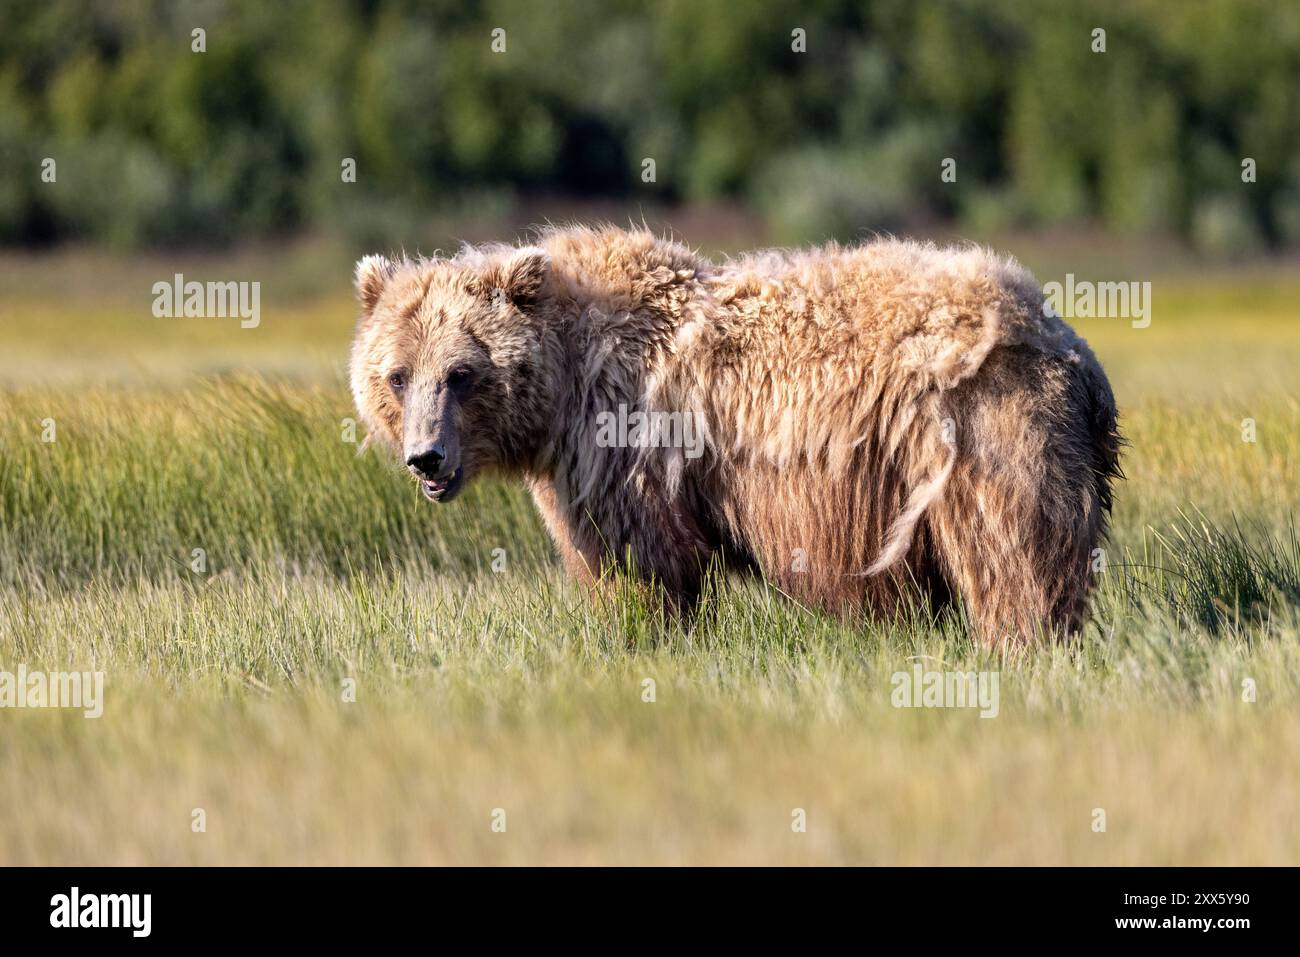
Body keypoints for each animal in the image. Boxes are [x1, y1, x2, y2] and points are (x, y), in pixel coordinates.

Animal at [350, 225, 1121, 647]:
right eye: (398, 375)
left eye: (462, 372)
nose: (426, 458)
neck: (563, 387)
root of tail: (1071, 346)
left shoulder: (626, 446)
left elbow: (642, 567)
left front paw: (642, 635)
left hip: (984, 435)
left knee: (1010, 559)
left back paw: (1022, 644)